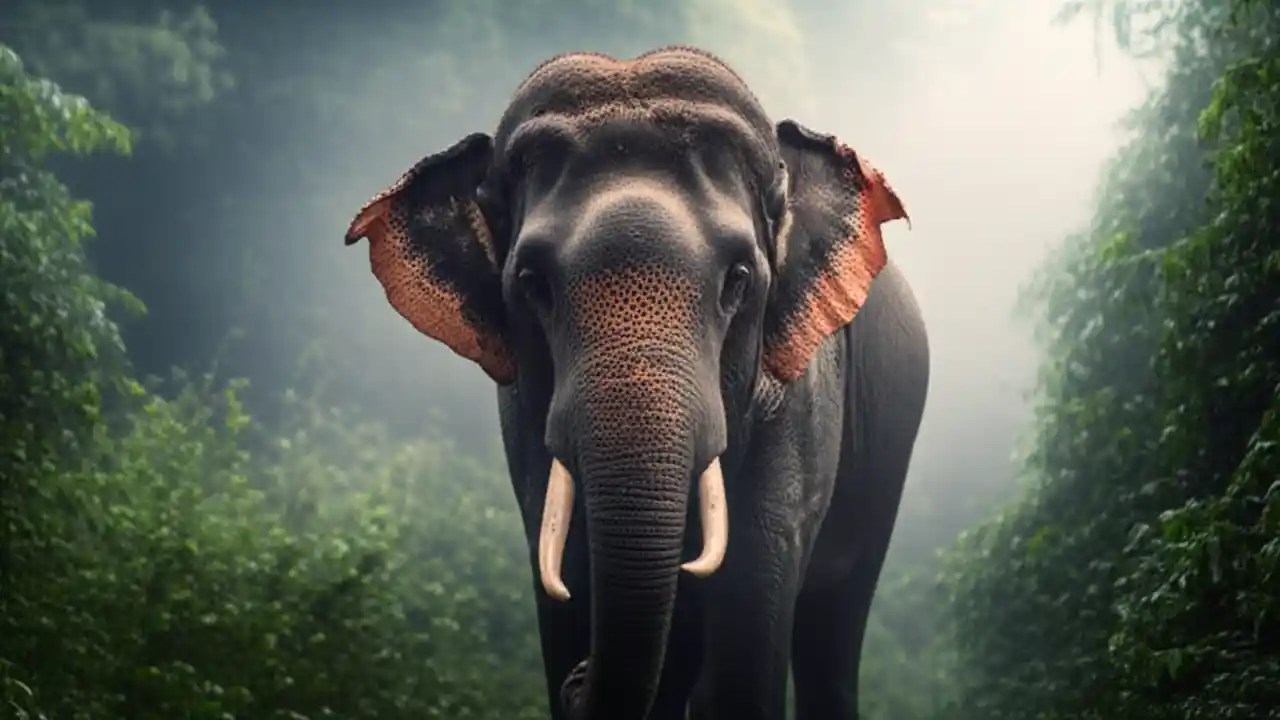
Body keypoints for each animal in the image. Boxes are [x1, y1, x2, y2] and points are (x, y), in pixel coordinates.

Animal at [343, 46, 929, 720]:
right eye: (532, 282)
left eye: (738, 279)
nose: (579, 677)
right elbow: (563, 557)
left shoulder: (803, 390)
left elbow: (752, 605)